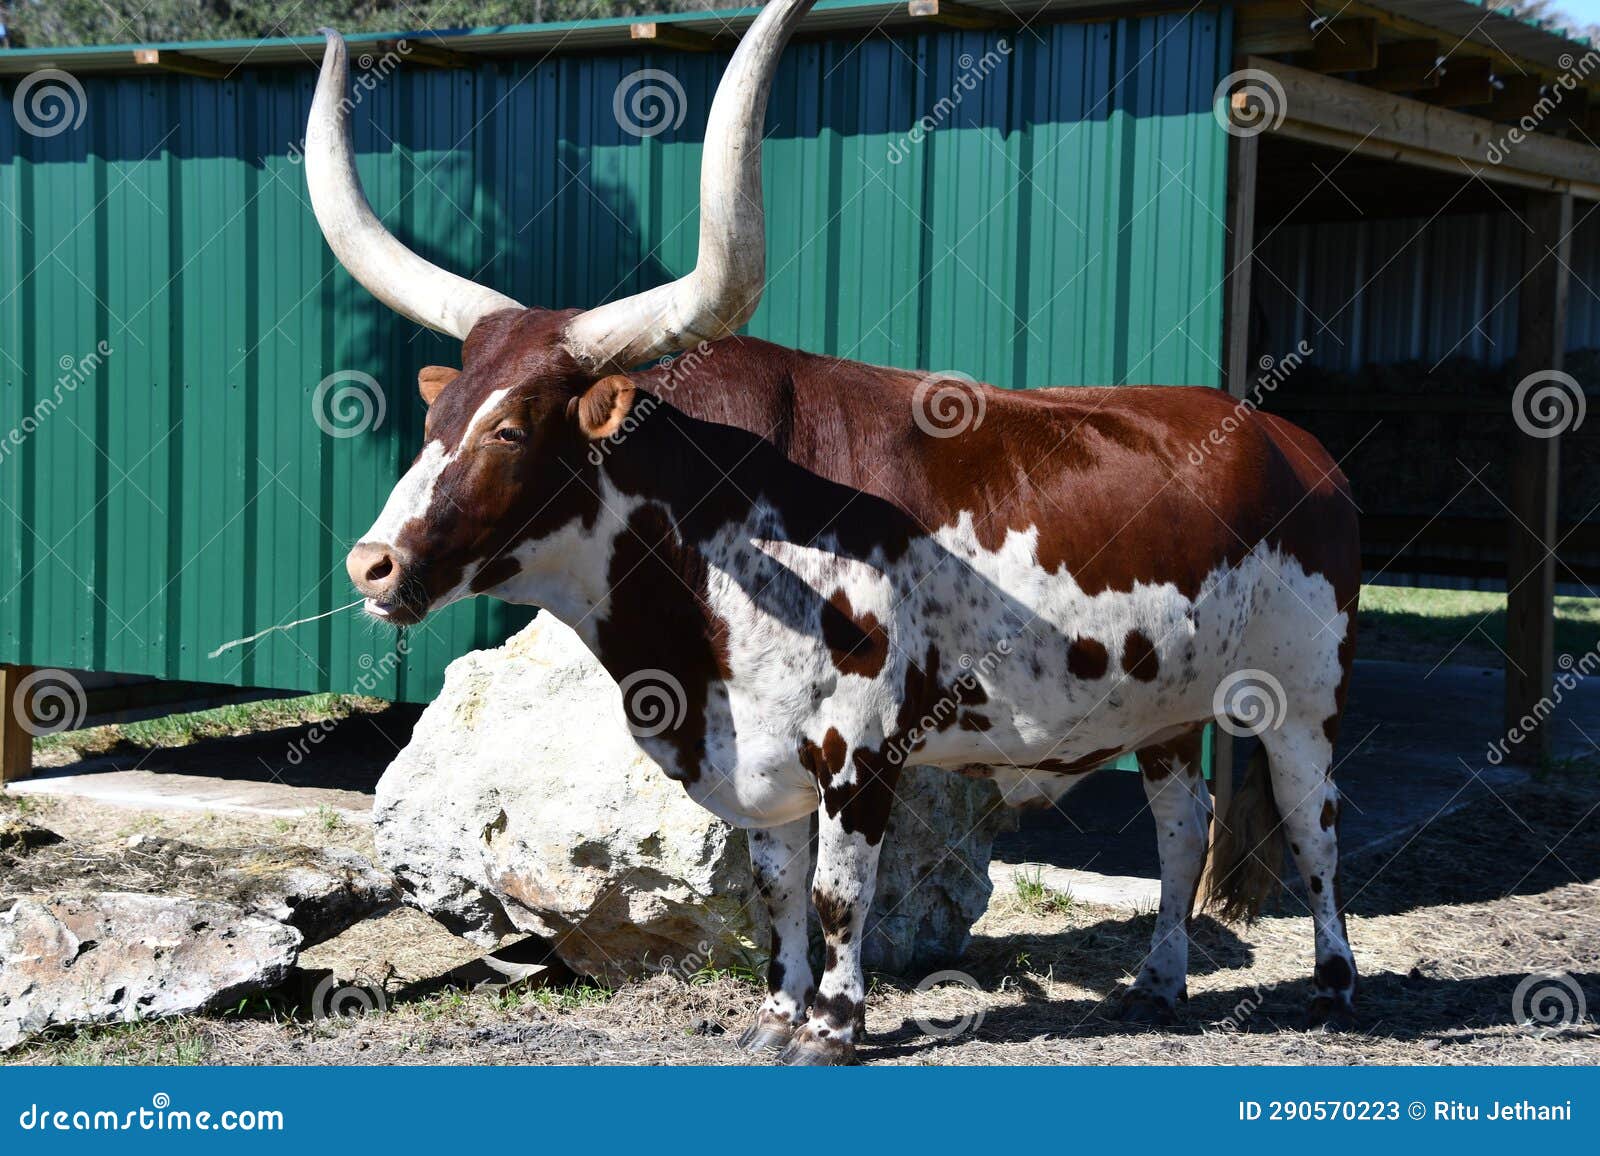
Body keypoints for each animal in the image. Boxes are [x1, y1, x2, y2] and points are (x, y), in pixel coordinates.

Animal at [306, 0, 1360, 1065]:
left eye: (513, 429)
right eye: (437, 417)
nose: (371, 563)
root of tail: (1292, 442)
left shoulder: (861, 749)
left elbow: (840, 894)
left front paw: (833, 1028)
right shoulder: (760, 759)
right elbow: (776, 890)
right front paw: (777, 1017)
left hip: (1301, 690)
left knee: (1313, 822)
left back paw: (1333, 983)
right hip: (1168, 709)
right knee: (1184, 825)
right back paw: (1159, 983)